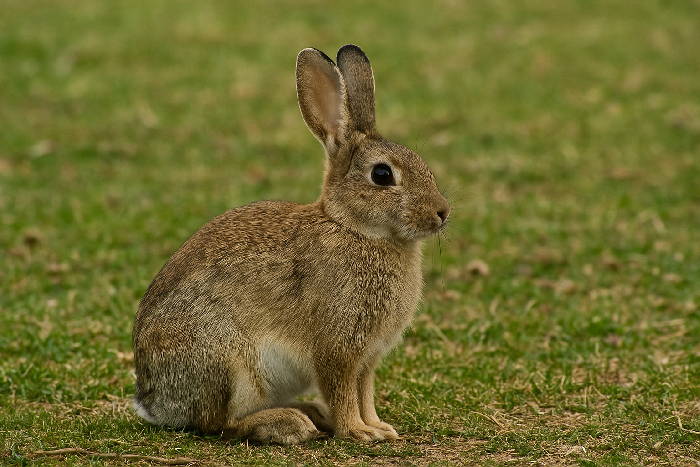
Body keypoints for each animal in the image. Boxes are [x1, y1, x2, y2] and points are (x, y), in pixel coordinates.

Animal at [132, 44, 450, 445]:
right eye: (382, 174)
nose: (442, 212)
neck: (357, 230)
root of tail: (152, 401)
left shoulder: (367, 358)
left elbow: (364, 392)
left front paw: (378, 427)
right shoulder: (338, 347)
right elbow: (343, 392)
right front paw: (358, 432)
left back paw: (311, 413)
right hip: (230, 367)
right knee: (219, 424)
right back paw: (290, 423)